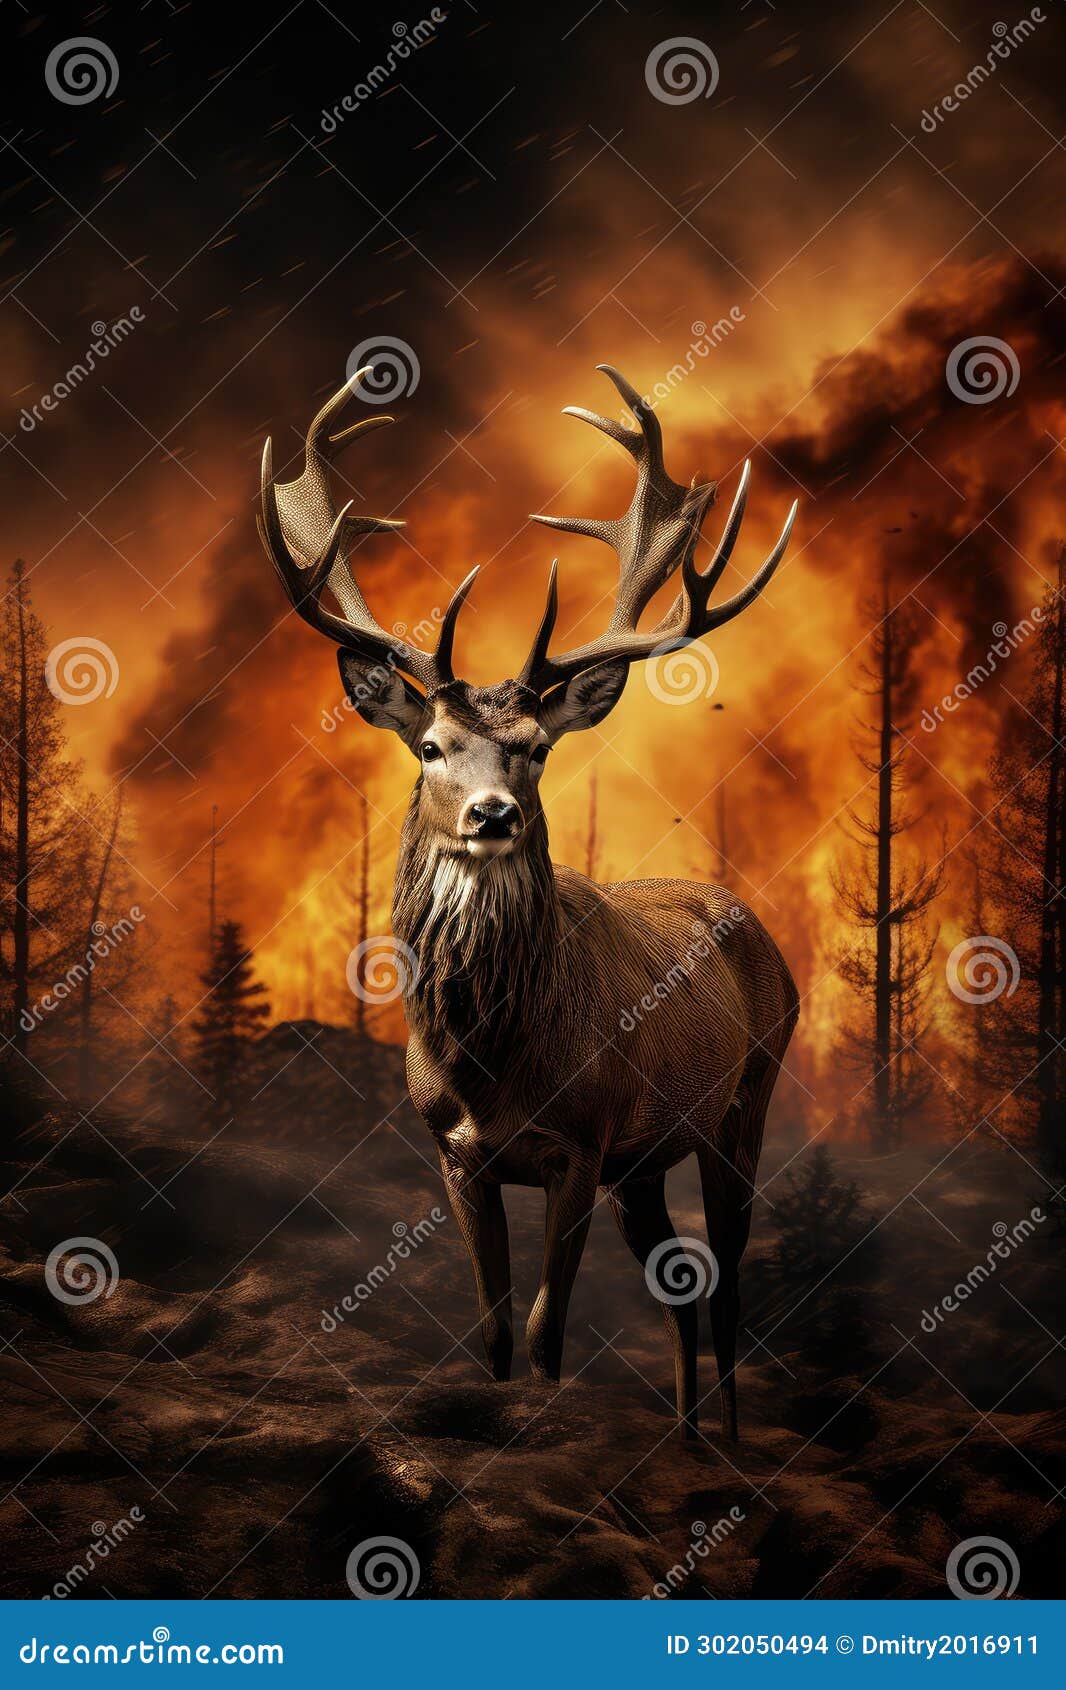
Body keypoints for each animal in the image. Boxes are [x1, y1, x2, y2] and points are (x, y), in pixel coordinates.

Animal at [258, 363, 799, 1441]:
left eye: (536, 748)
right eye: (430, 746)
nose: (493, 813)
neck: (492, 1058)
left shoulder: (581, 1142)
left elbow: (551, 1326)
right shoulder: (456, 1153)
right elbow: (497, 1325)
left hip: (746, 1097)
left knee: (726, 1278)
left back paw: (724, 1439)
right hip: (647, 1158)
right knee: (679, 1285)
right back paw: (682, 1438)